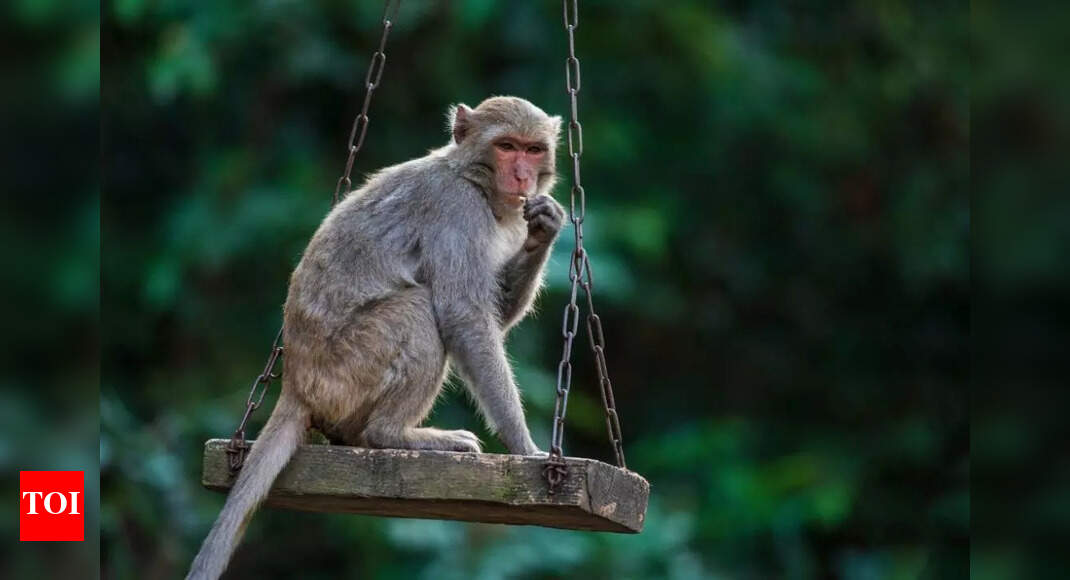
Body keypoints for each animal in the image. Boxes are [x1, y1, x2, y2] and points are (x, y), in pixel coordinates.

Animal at [187, 96, 565, 579]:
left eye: (533, 149)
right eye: (506, 146)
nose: (520, 176)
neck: (473, 180)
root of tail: (294, 380)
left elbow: (492, 314)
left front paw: (546, 229)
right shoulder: (455, 210)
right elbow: (464, 317)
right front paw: (525, 448)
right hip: (345, 370)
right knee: (418, 311)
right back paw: (395, 435)